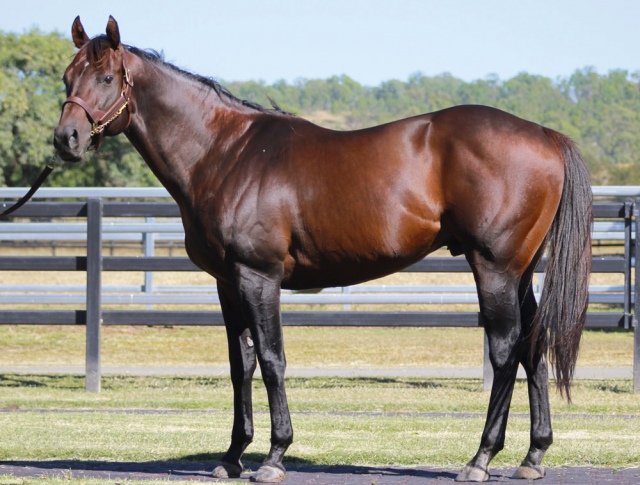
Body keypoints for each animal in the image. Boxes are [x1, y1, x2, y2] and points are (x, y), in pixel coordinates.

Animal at [53, 16, 592, 483]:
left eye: (106, 76)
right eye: (66, 77)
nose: (66, 139)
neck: (225, 153)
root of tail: (545, 135)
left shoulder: (258, 277)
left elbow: (272, 359)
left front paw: (274, 456)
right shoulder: (227, 282)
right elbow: (240, 364)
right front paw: (232, 456)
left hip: (494, 267)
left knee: (505, 349)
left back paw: (480, 459)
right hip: (520, 270)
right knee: (532, 345)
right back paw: (533, 456)